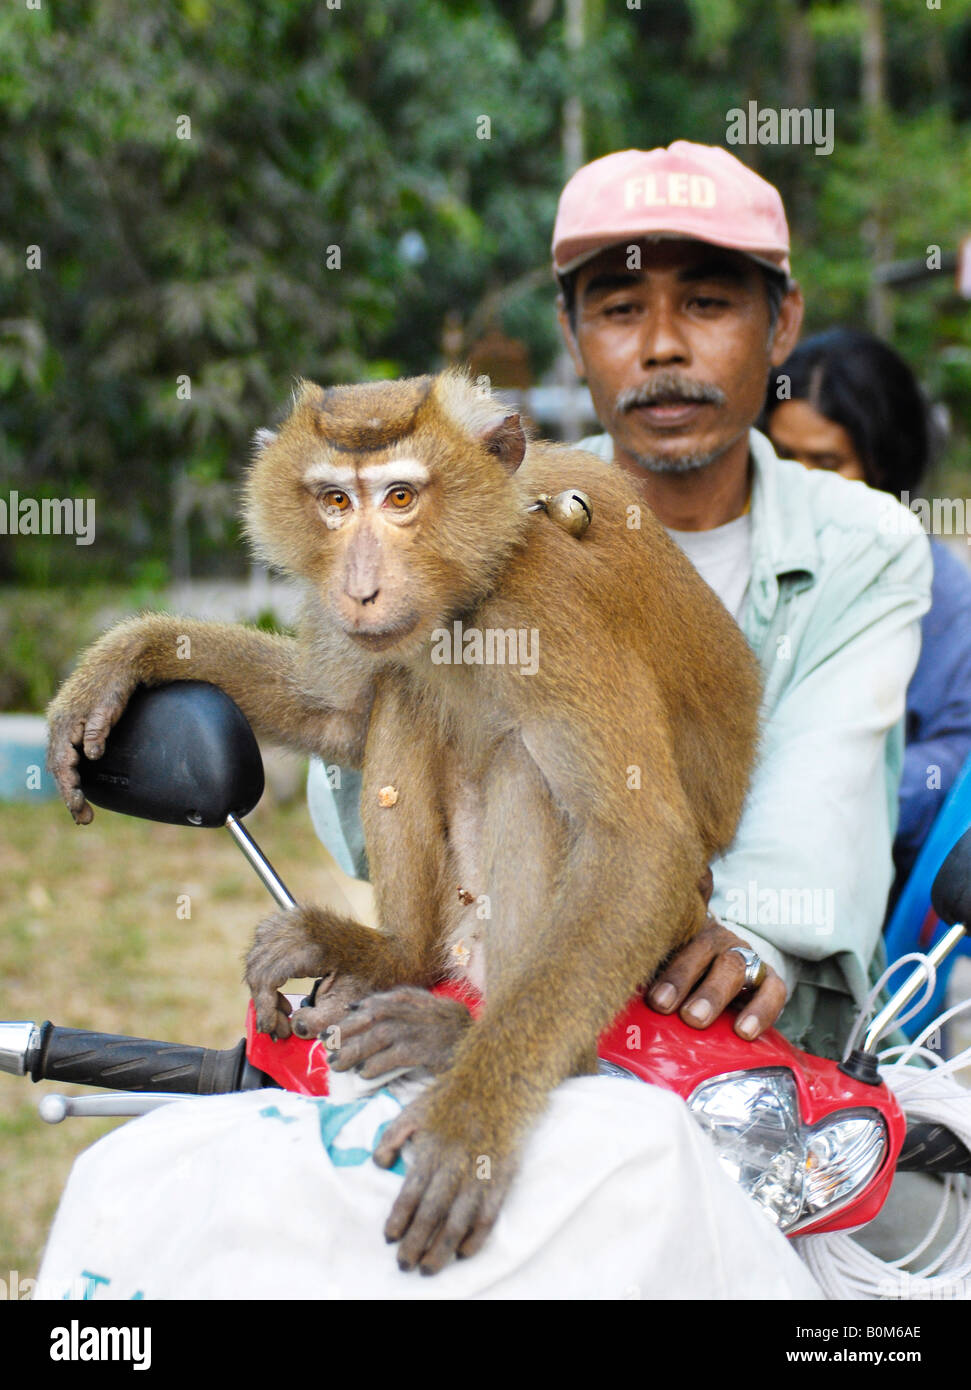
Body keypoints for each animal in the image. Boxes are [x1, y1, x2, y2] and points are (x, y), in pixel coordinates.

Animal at [46, 369, 762, 1276]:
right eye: (333, 502)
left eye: (399, 498)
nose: (358, 586)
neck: (470, 592)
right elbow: (337, 715)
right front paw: (128, 656)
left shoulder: (548, 606)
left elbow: (636, 841)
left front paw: (471, 1124)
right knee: (402, 691)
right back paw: (391, 957)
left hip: (649, 921)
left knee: (527, 772)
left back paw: (469, 1035)